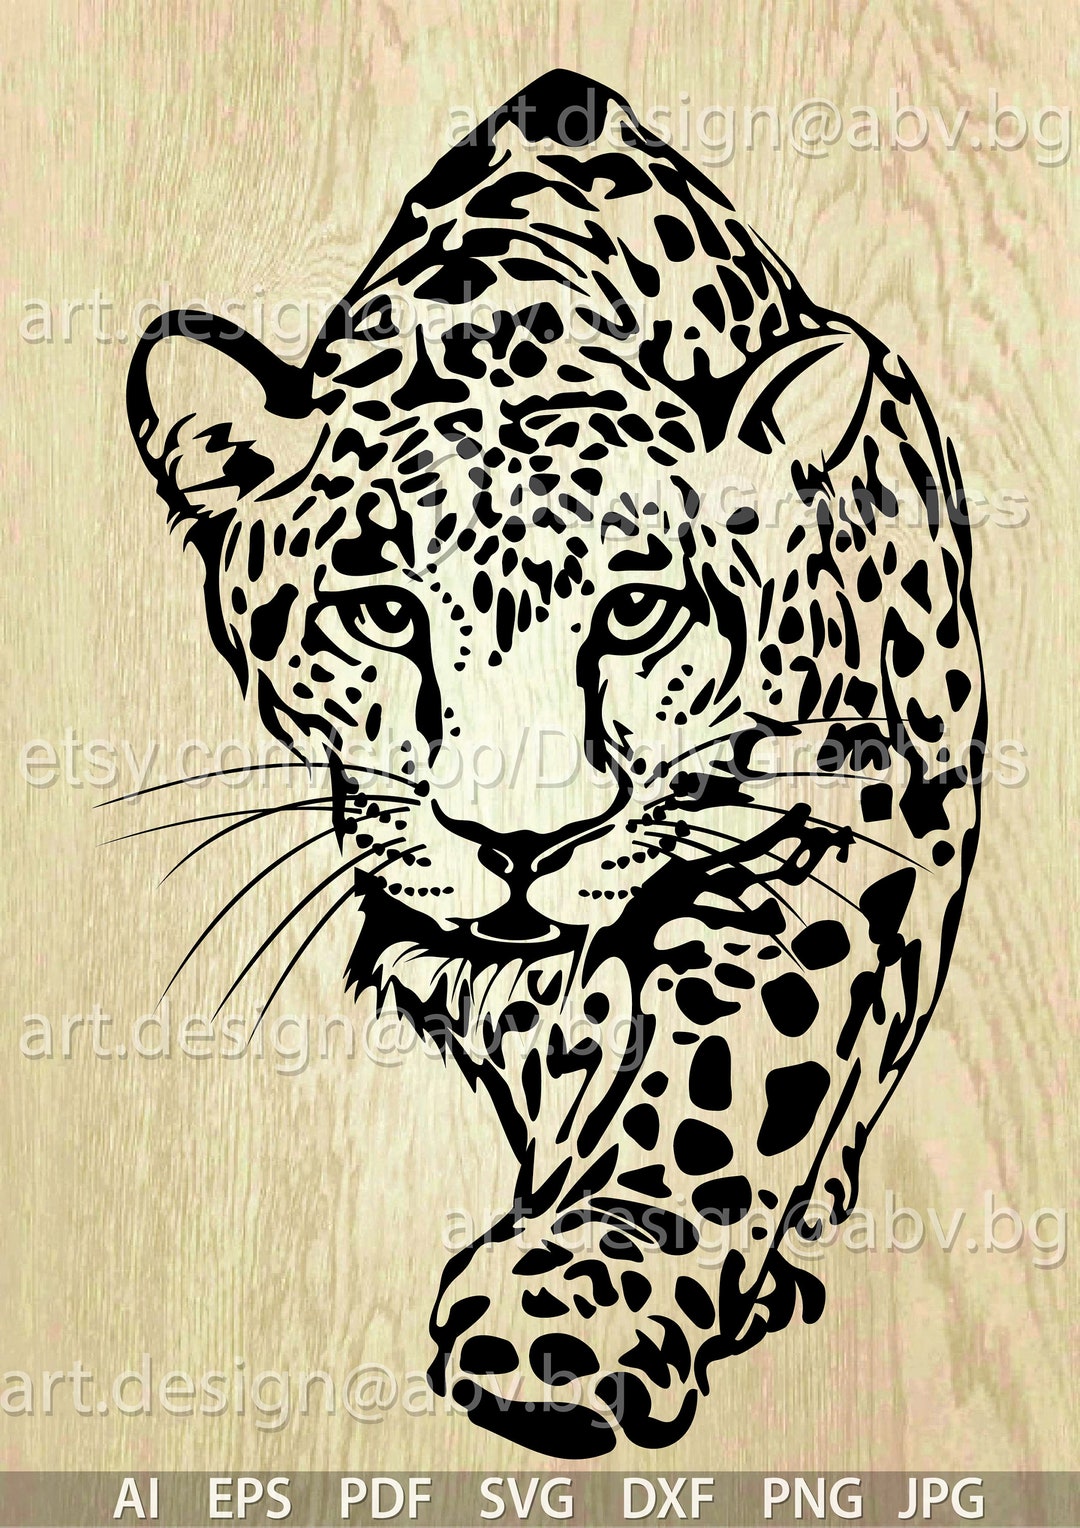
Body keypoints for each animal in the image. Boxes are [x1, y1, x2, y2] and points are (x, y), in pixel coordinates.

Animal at [126, 70, 985, 1456]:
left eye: (637, 613)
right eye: (383, 611)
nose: (521, 845)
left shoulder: (844, 823)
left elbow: (719, 1075)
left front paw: (570, 1312)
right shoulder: (448, 931)